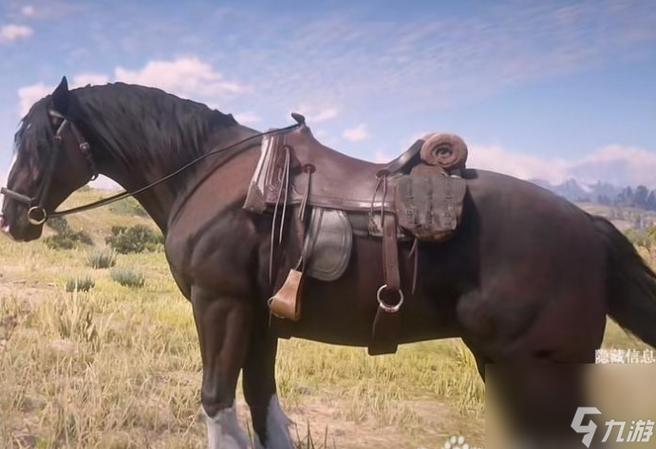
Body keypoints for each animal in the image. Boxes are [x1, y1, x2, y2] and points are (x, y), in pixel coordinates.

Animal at [3, 77, 656, 449]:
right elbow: (262, 403)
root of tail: (592, 228)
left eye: (37, 140)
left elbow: (218, 402)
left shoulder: (220, 306)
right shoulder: (260, 319)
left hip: (539, 369)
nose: (11, 216)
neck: (207, 172)